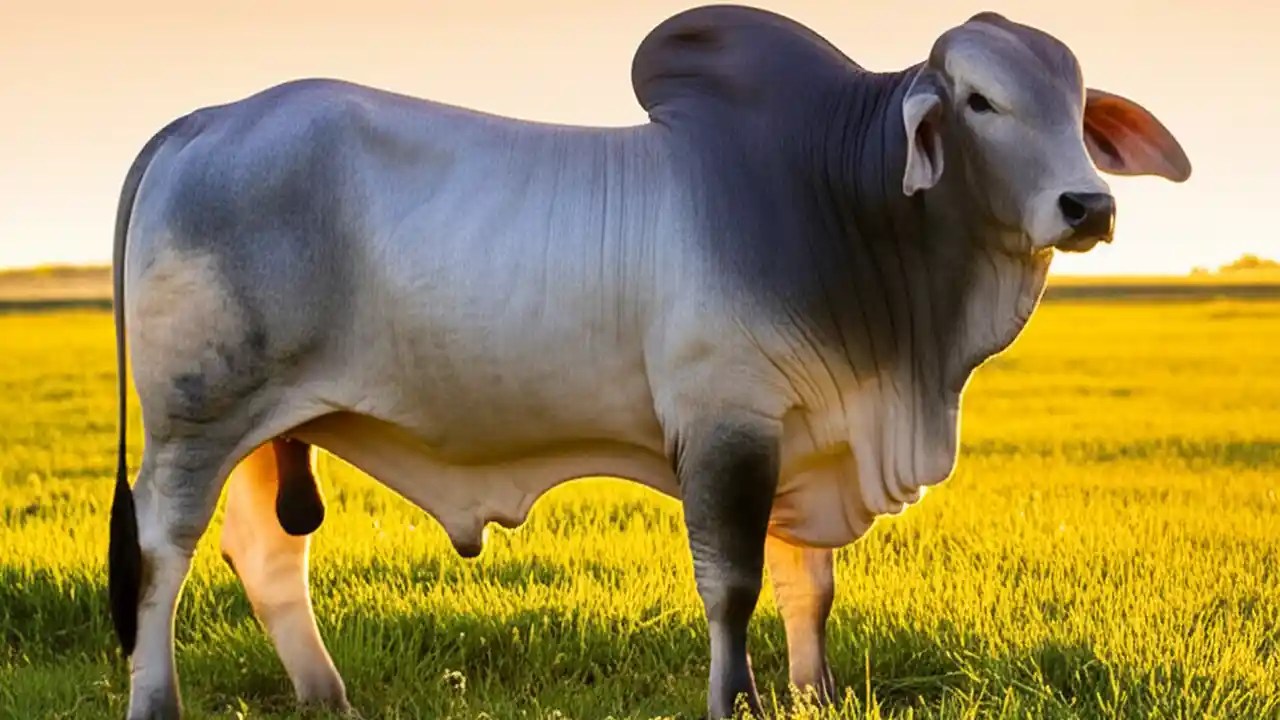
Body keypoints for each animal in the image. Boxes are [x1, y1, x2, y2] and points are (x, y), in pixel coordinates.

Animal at [107, 6, 1190, 719]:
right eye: (978, 100)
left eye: (1077, 106)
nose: (1086, 206)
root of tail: (206, 120)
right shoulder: (726, 426)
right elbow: (733, 585)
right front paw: (733, 700)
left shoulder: (809, 434)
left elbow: (810, 585)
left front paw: (814, 692)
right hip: (198, 417)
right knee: (163, 548)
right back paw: (159, 702)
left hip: (273, 421)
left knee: (264, 551)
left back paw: (326, 696)